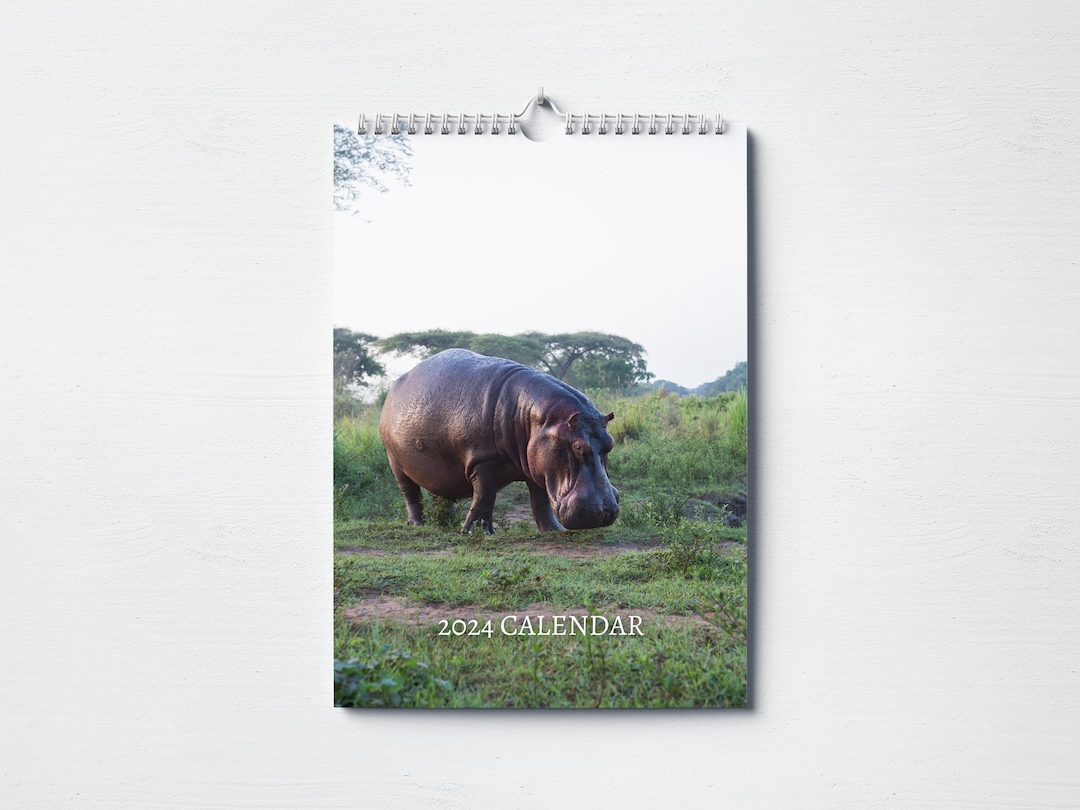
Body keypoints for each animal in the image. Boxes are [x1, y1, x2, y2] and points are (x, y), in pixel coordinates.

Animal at [378, 349, 620, 533]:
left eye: (610, 443)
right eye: (578, 446)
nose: (608, 511)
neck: (534, 418)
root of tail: (394, 387)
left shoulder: (537, 465)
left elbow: (540, 502)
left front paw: (553, 530)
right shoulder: (483, 459)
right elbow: (485, 496)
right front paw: (477, 532)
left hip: (442, 468)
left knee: (444, 494)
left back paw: (448, 523)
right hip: (395, 461)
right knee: (411, 493)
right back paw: (417, 524)